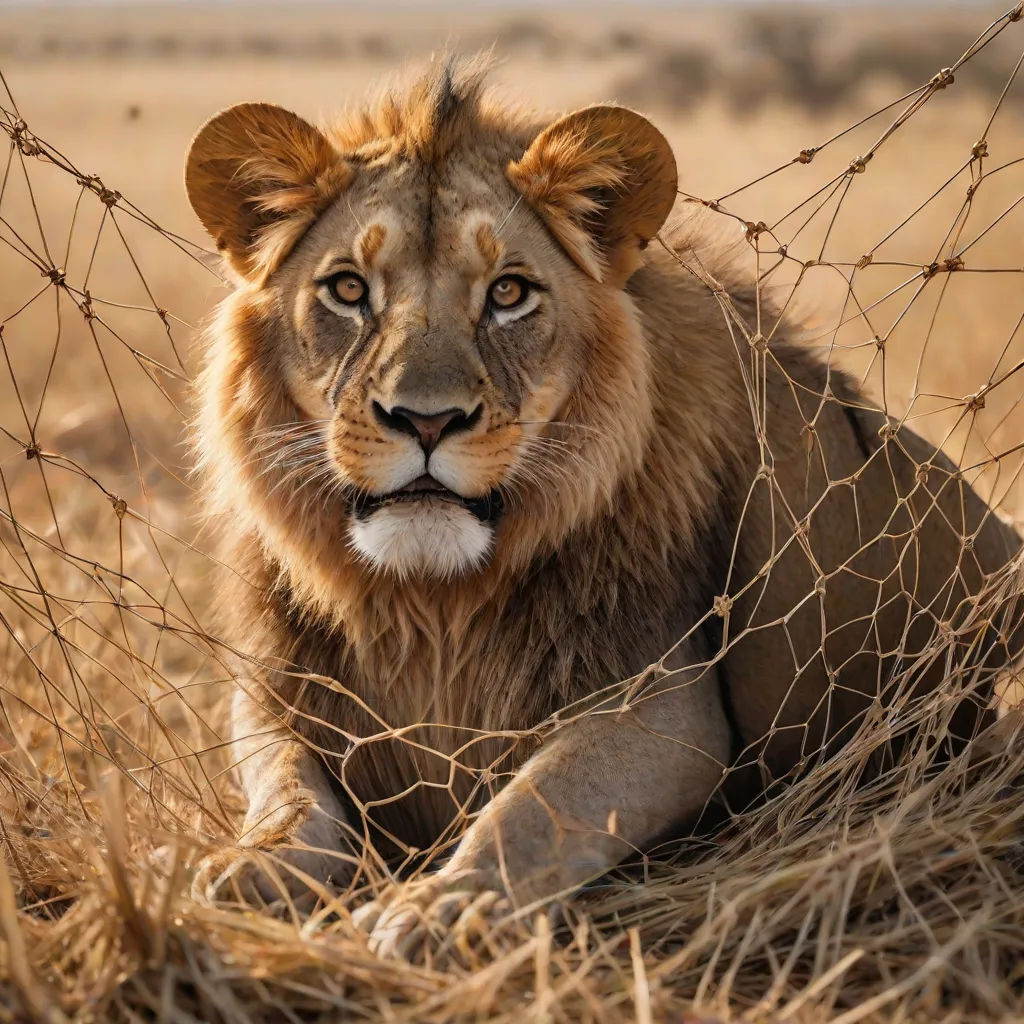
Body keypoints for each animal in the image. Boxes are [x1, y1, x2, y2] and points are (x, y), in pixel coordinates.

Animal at [184, 58, 1022, 958]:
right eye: (347, 290)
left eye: (509, 293)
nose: (427, 419)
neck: (432, 606)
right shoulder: (275, 691)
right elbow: (290, 796)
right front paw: (241, 868)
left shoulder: (660, 704)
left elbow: (542, 801)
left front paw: (447, 906)